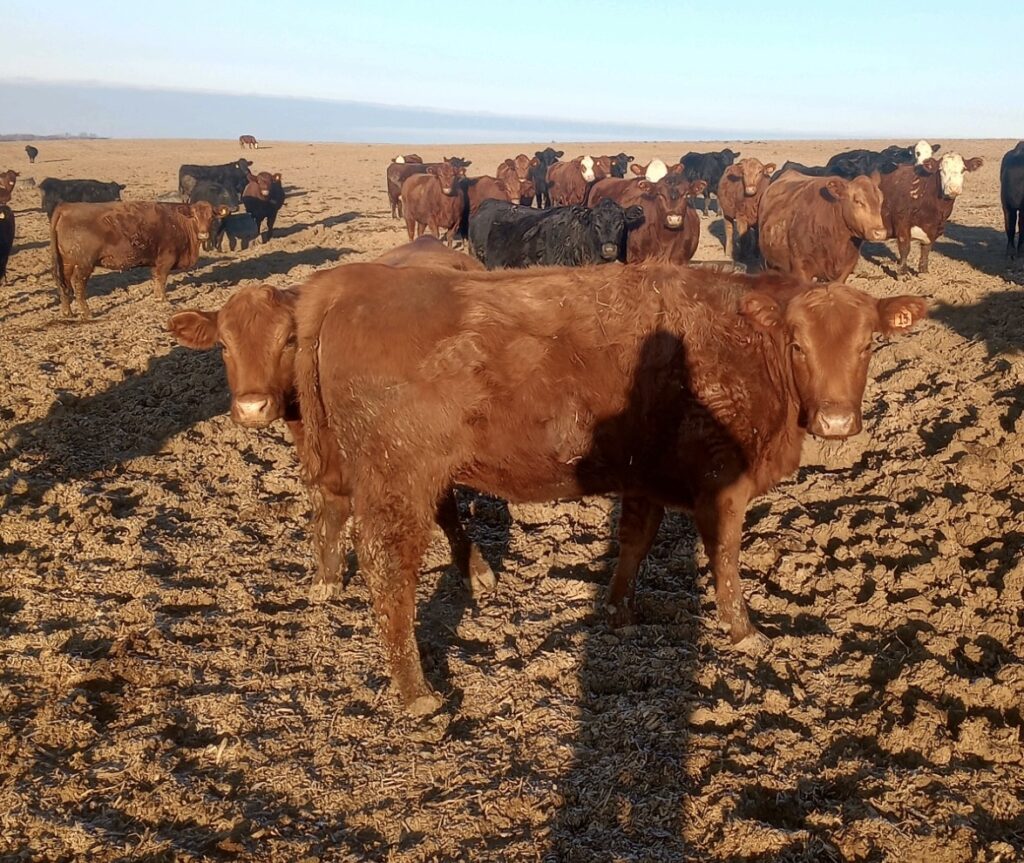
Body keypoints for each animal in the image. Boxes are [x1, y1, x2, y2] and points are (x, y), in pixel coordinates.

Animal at [50, 200, 216, 319]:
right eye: (195, 216)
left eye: (211, 217)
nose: (203, 234)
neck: (178, 222)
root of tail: (66, 206)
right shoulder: (166, 259)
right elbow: (162, 279)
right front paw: (163, 300)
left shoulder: (156, 263)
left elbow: (156, 279)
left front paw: (157, 298)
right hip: (85, 264)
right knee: (78, 285)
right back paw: (87, 313)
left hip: (67, 263)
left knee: (64, 284)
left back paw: (67, 312)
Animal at [167, 267, 495, 602]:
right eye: (223, 345)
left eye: (289, 340)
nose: (252, 407)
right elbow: (330, 512)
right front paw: (327, 577)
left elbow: (445, 509)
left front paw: (474, 569)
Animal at [291, 262, 928, 713]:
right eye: (798, 344)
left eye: (869, 344)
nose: (837, 422)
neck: (739, 344)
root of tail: (349, 282)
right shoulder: (722, 484)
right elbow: (724, 558)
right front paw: (745, 630)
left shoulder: (643, 474)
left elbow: (635, 541)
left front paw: (620, 612)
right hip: (398, 478)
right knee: (388, 569)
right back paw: (416, 692)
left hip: (364, 469)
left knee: (333, 511)